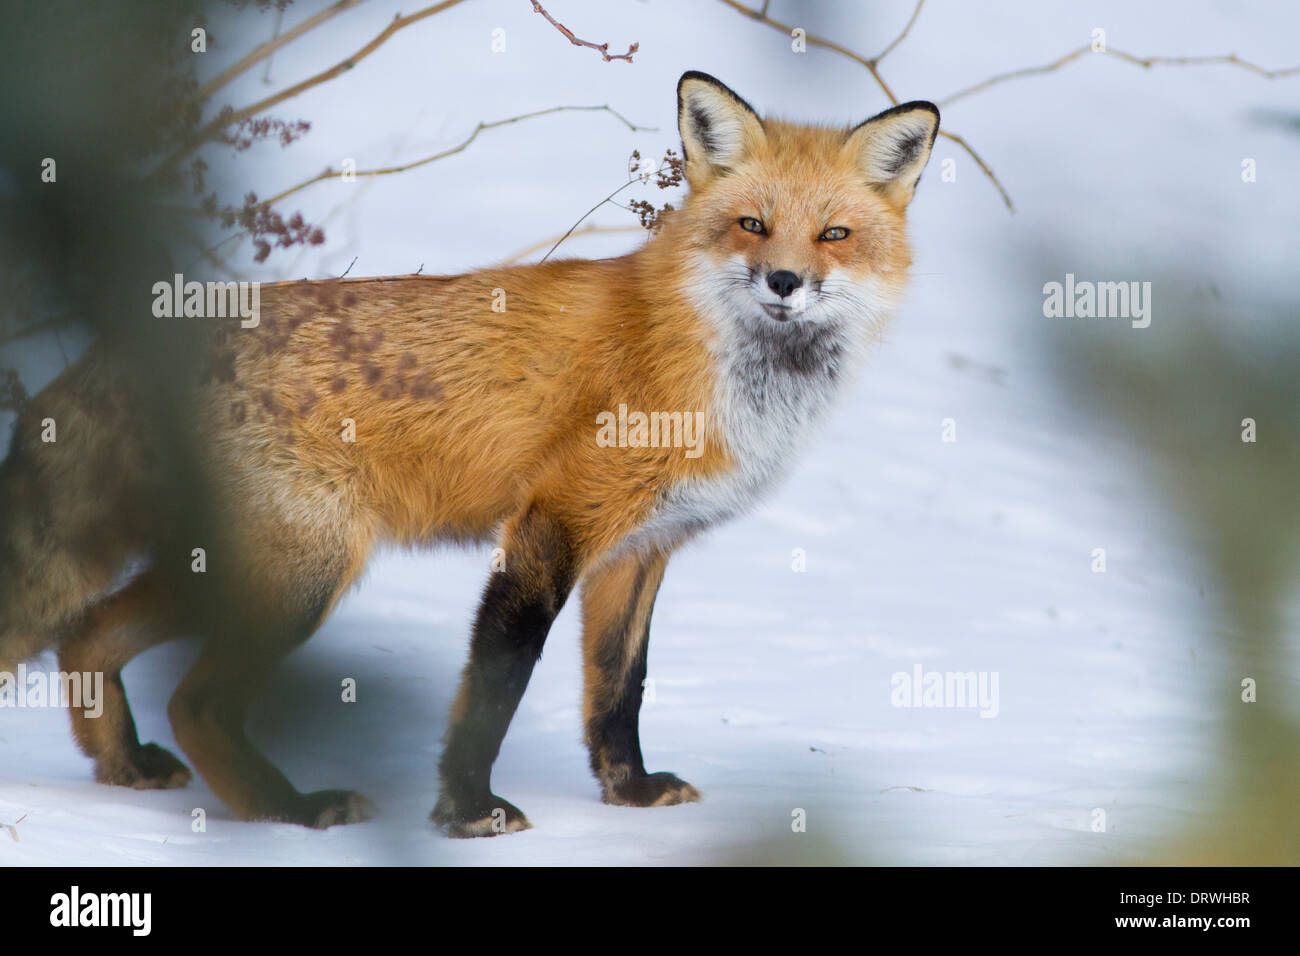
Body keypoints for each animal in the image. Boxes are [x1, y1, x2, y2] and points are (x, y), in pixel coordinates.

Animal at [0, 72, 938, 837]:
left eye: (834, 234)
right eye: (752, 225)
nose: (784, 281)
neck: (713, 366)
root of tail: (134, 347)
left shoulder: (638, 551)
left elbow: (618, 691)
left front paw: (629, 797)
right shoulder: (553, 524)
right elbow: (496, 688)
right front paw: (467, 810)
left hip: (230, 568)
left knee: (85, 636)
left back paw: (125, 767)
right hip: (303, 573)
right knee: (192, 701)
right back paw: (290, 811)